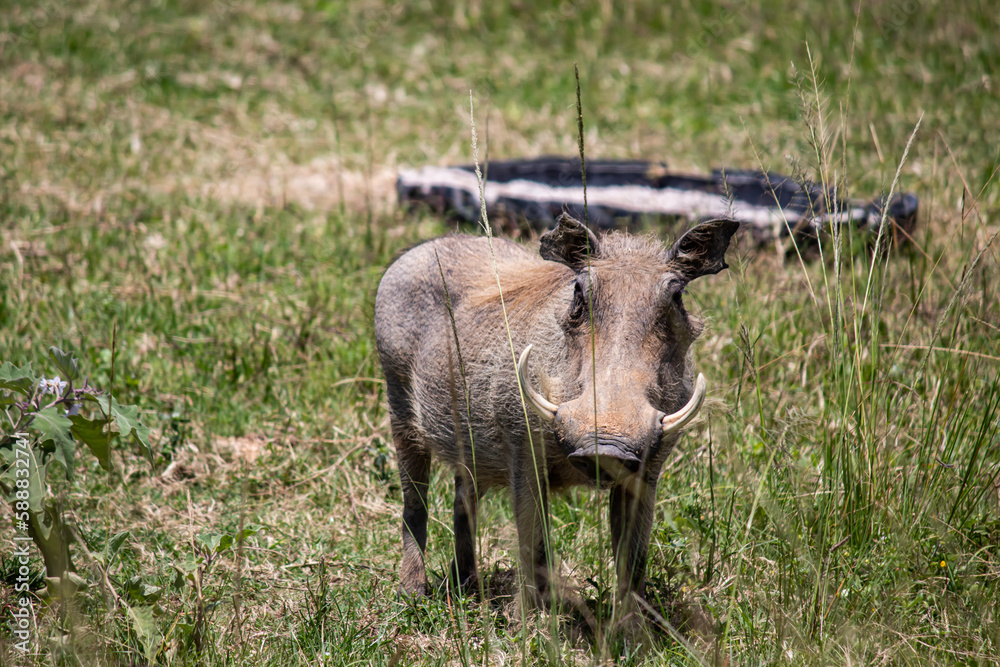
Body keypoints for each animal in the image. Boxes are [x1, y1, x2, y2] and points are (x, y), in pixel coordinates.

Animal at [374, 213, 738, 609]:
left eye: (676, 296)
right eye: (579, 292)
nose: (605, 446)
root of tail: (422, 248)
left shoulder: (646, 470)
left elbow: (633, 561)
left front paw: (631, 627)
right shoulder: (524, 455)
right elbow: (533, 546)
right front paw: (533, 622)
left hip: (467, 449)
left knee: (462, 501)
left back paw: (466, 586)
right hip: (399, 407)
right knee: (414, 503)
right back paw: (412, 595)